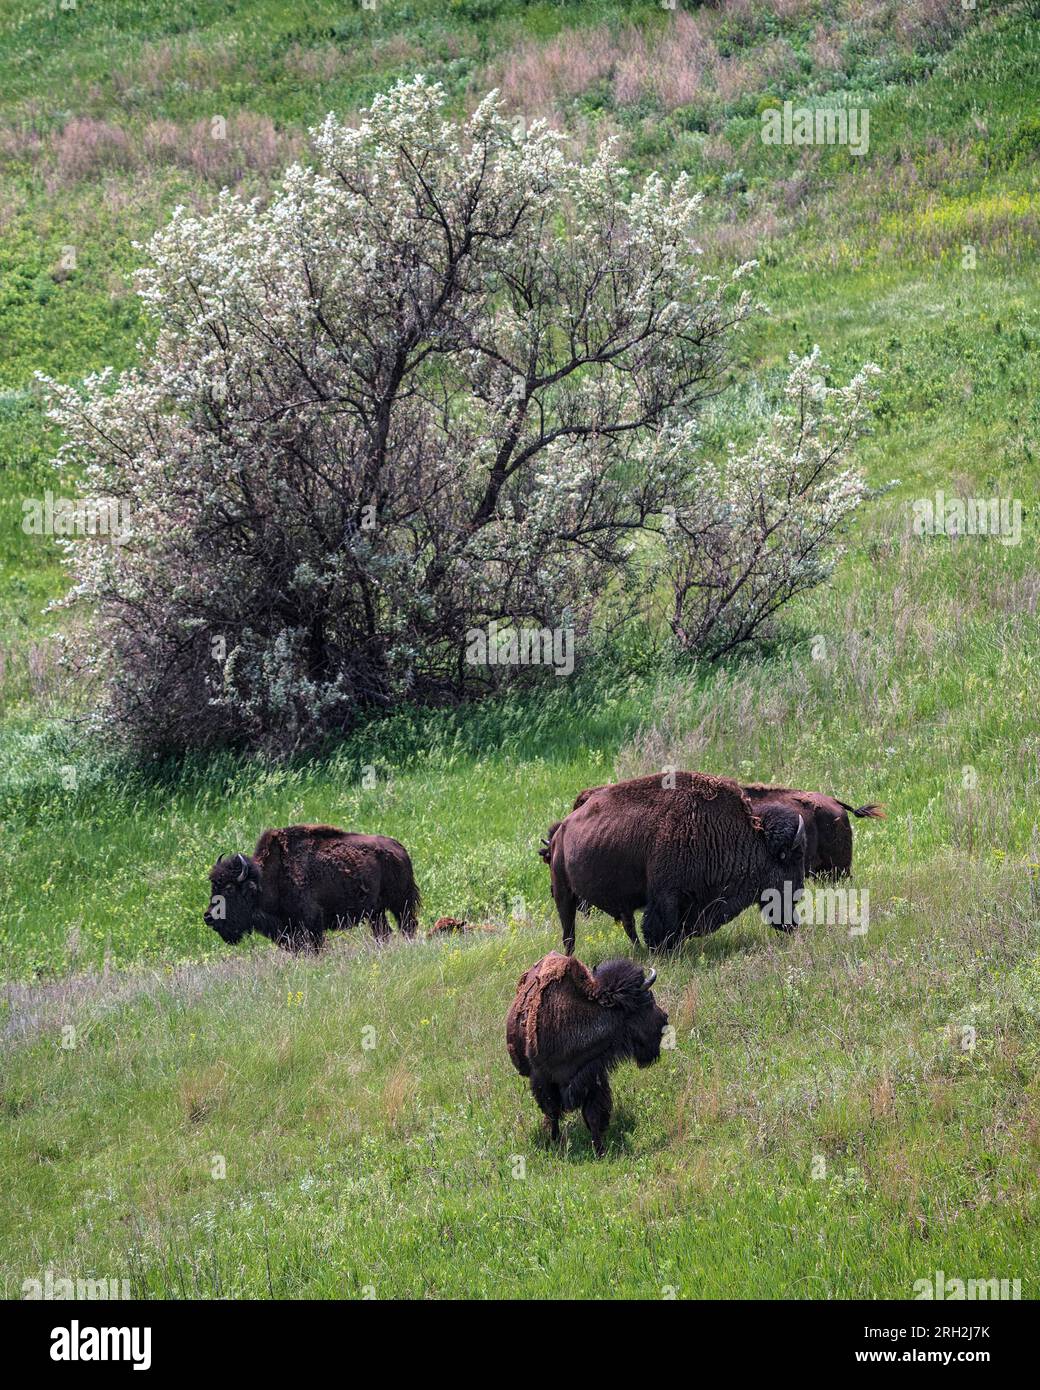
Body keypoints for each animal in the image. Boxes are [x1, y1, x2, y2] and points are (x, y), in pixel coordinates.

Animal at [204, 824, 420, 951]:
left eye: (230, 888)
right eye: (213, 888)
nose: (208, 917)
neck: (266, 881)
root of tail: (398, 847)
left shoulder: (312, 923)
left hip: (401, 904)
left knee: (407, 926)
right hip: (376, 912)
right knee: (384, 932)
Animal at [506, 951, 667, 1157]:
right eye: (647, 999)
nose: (665, 1019)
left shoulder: (591, 1075)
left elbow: (593, 1115)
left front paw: (600, 1150)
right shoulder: (542, 1079)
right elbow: (552, 1113)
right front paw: (555, 1141)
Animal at [547, 772, 806, 953]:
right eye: (790, 865)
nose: (793, 924)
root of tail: (561, 831)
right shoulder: (666, 895)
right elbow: (662, 926)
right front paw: (666, 952)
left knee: (628, 926)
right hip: (563, 894)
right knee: (569, 932)